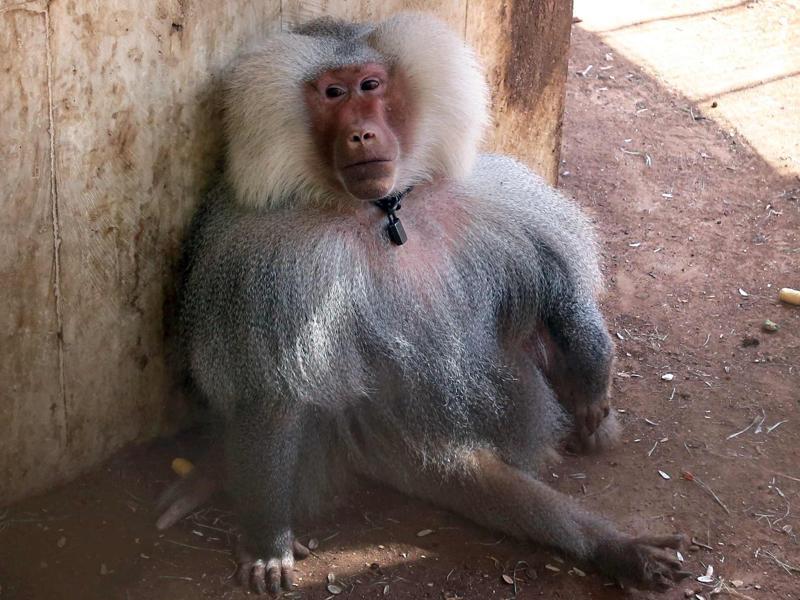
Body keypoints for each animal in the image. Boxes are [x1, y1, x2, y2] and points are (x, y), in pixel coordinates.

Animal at [158, 13, 689, 596]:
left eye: (370, 86)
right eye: (333, 93)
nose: (361, 133)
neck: (381, 213)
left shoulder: (481, 198)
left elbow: (551, 274)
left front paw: (592, 378)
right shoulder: (270, 260)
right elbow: (272, 397)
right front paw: (267, 542)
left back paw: (617, 544)